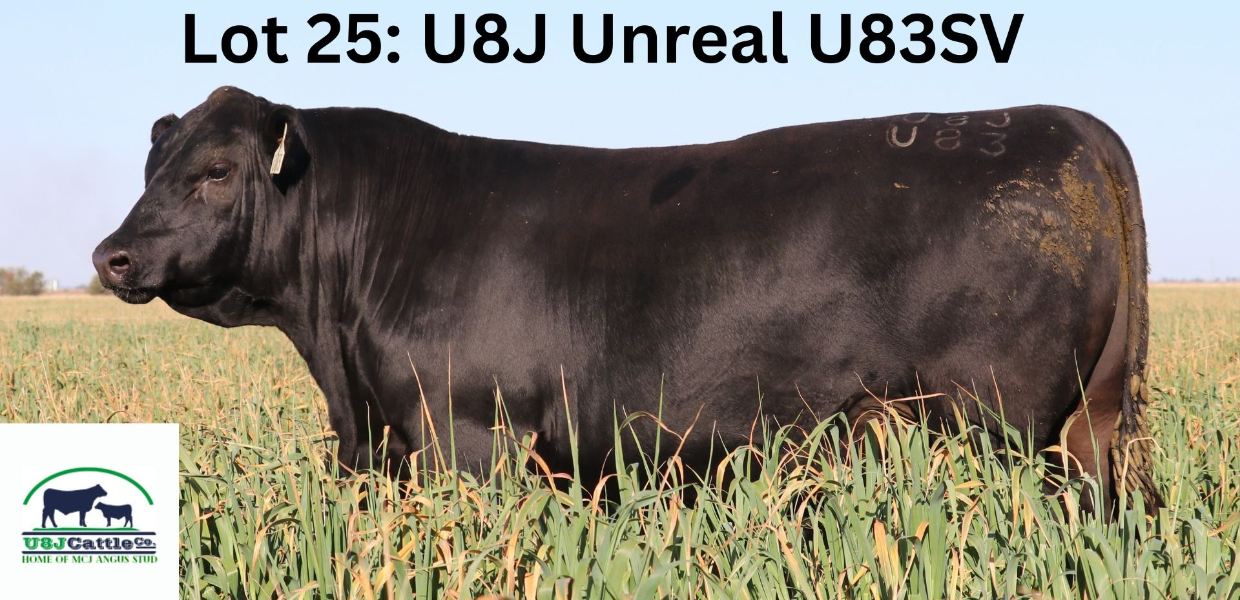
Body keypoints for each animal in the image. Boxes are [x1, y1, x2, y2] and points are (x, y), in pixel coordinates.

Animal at [93, 86, 1161, 514]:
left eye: (218, 171)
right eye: (154, 160)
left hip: (1002, 419)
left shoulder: (464, 433)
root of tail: (1069, 124)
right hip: (1091, 422)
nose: (112, 256)